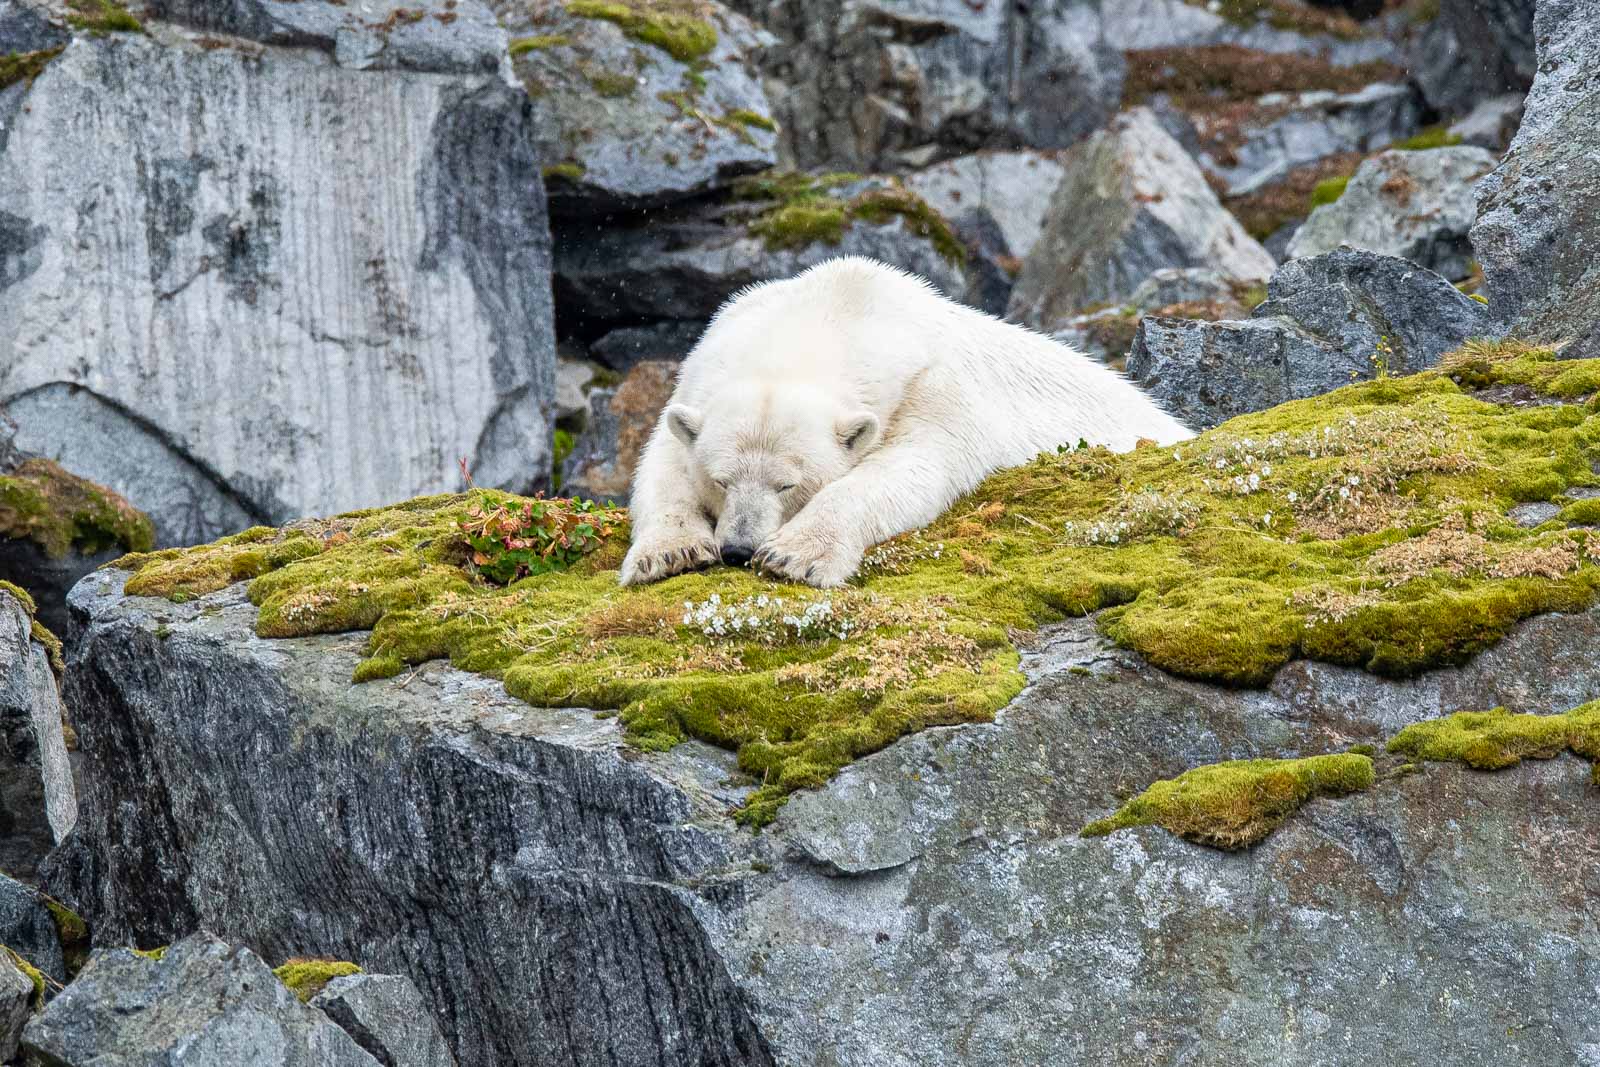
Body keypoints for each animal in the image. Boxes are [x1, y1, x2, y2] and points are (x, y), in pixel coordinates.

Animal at [619, 256, 1192, 588]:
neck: (837, 308)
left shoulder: (936, 389)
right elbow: (663, 462)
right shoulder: (695, 378)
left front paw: (795, 555)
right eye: (720, 481)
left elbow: (911, 468)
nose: (737, 548)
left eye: (788, 485)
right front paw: (668, 553)